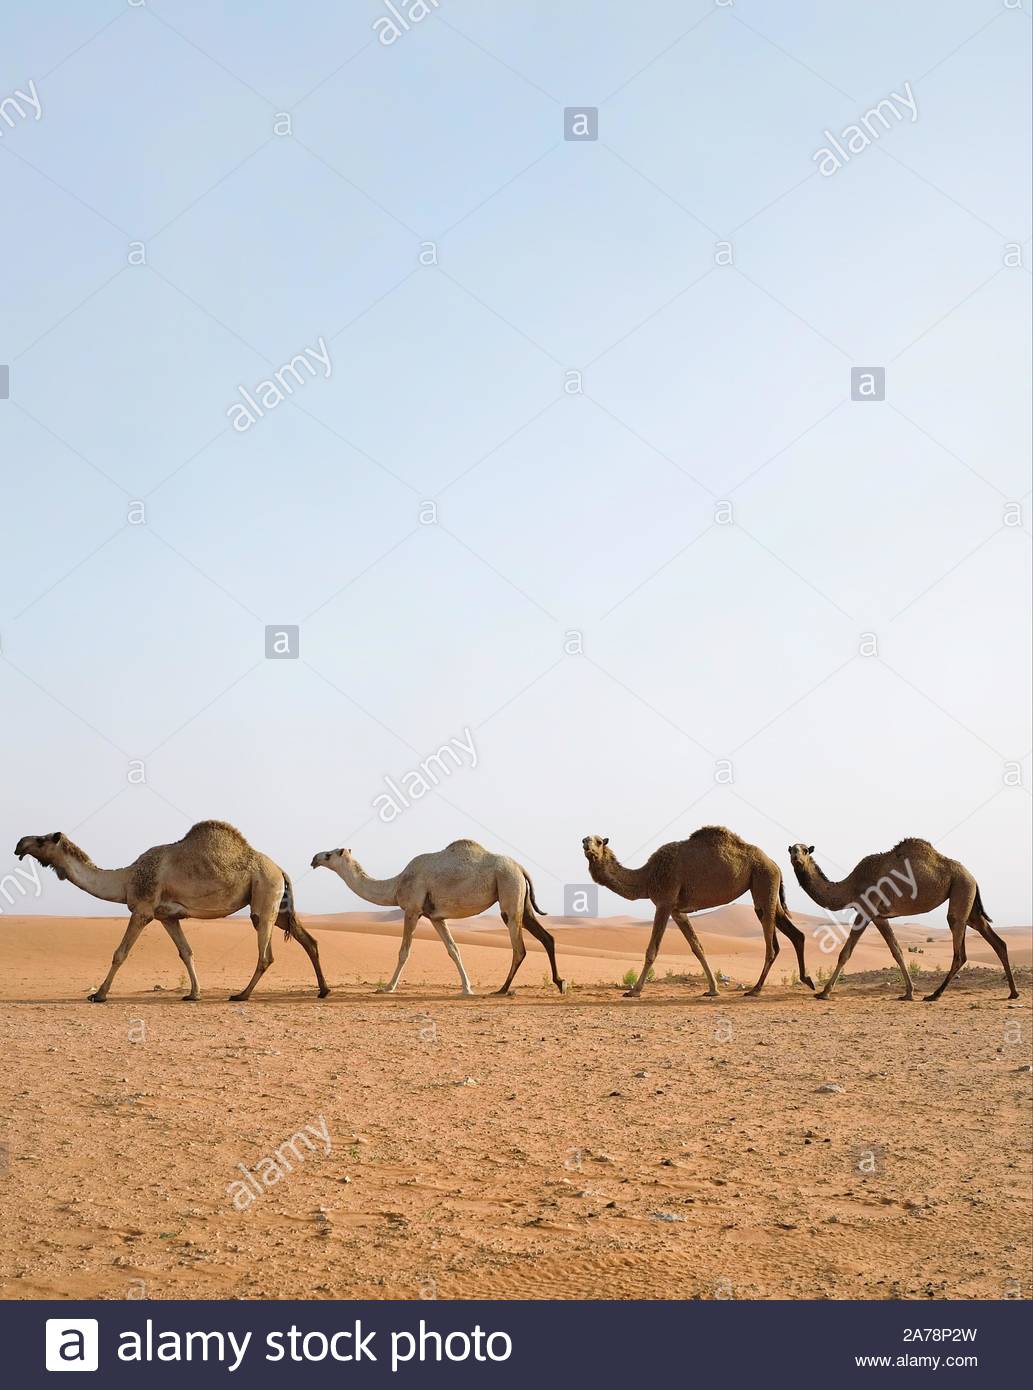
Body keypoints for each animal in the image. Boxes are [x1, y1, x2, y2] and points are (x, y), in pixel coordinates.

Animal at [13, 821, 330, 1003]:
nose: (19, 843)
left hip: (264, 893)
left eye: (41, 839)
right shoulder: (167, 916)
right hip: (279, 906)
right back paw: (323, 990)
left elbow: (120, 953)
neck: (126, 878)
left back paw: (242, 995)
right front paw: (193, 994)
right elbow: (186, 952)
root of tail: (280, 869)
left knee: (266, 954)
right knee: (308, 940)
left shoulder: (142, 909)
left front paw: (99, 994)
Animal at [311, 839, 565, 996]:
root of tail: (521, 867)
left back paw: (503, 989)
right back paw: (560, 983)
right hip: (520, 897)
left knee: (519, 947)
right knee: (546, 937)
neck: (396, 884)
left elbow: (404, 952)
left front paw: (387, 987)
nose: (314, 858)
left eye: (329, 854)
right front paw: (467, 988)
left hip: (508, 889)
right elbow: (453, 949)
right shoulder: (435, 917)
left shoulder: (412, 909)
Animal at [582, 825, 814, 997]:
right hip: (767, 890)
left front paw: (634, 991)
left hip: (764, 881)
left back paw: (756, 990)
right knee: (795, 934)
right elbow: (697, 947)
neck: (646, 877)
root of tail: (774, 863)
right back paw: (808, 980)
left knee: (772, 945)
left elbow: (652, 949)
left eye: (599, 841)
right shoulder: (677, 910)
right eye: (584, 839)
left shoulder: (664, 902)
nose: (586, 844)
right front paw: (713, 989)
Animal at [788, 839, 1018, 1002]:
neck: (850, 886)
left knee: (959, 948)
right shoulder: (879, 917)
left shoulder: (865, 909)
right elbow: (896, 951)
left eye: (805, 850)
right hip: (968, 900)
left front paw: (824, 992)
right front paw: (908, 992)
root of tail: (973, 877)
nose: (796, 858)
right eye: (791, 850)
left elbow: (845, 953)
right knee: (996, 940)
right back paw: (1013, 993)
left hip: (961, 888)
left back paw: (934, 995)